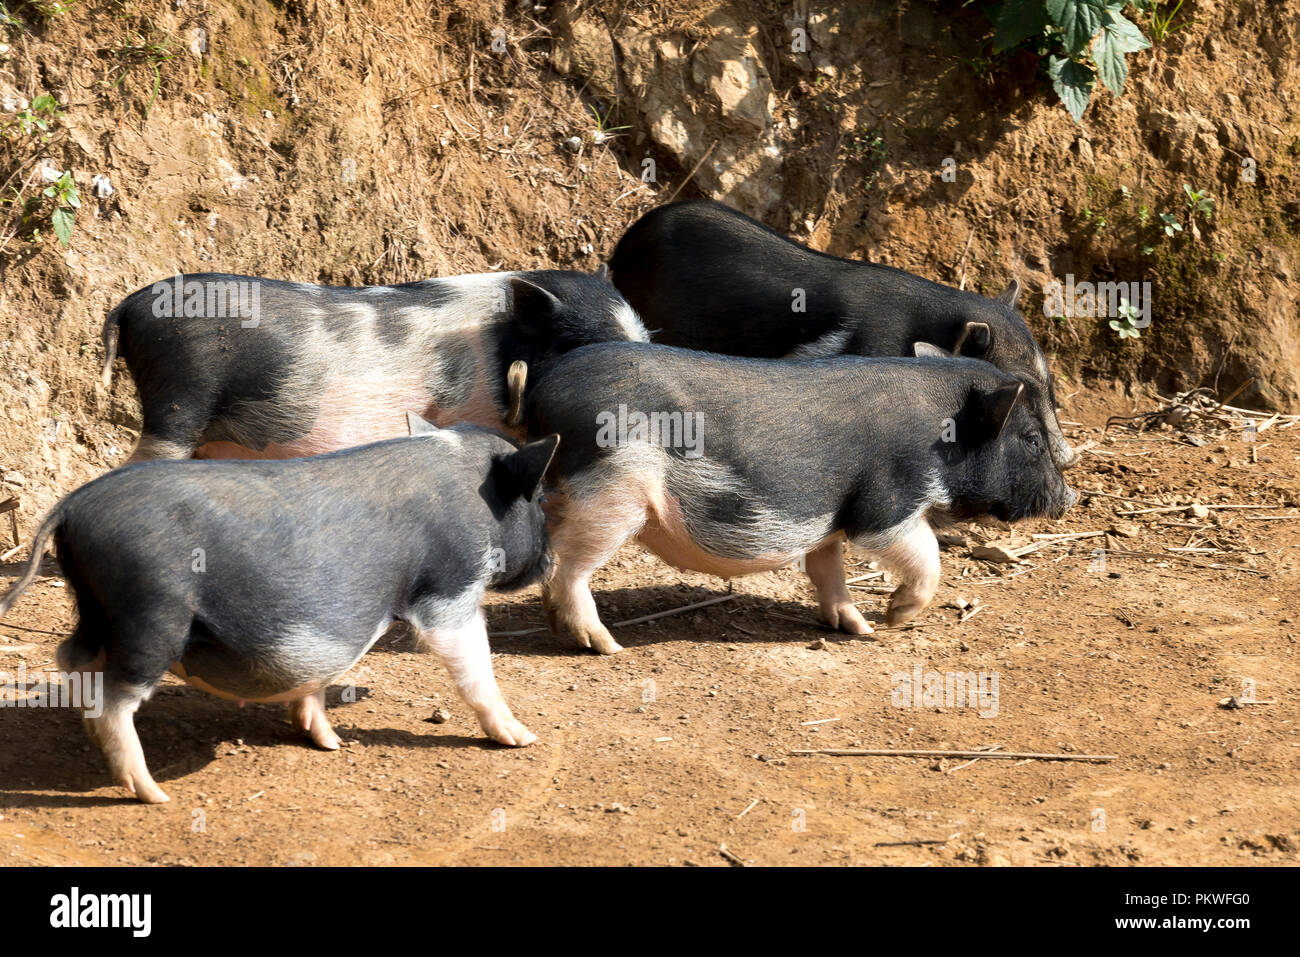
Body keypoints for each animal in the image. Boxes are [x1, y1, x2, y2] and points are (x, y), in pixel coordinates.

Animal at [0, 421, 559, 803]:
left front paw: (330, 744)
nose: (551, 562)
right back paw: (153, 793)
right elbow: (475, 667)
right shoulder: (450, 591)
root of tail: (71, 506)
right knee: (116, 698)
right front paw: (523, 738)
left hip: (94, 610)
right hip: (150, 617)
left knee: (71, 659)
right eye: (539, 501)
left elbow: (314, 680)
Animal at [524, 343, 1076, 655]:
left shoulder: (829, 518)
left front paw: (857, 628)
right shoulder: (886, 504)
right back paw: (607, 646)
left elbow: (827, 568)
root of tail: (540, 393)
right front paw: (892, 620)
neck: (942, 432)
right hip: (613, 492)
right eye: (1031, 439)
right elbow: (926, 554)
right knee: (567, 566)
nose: (1068, 497)